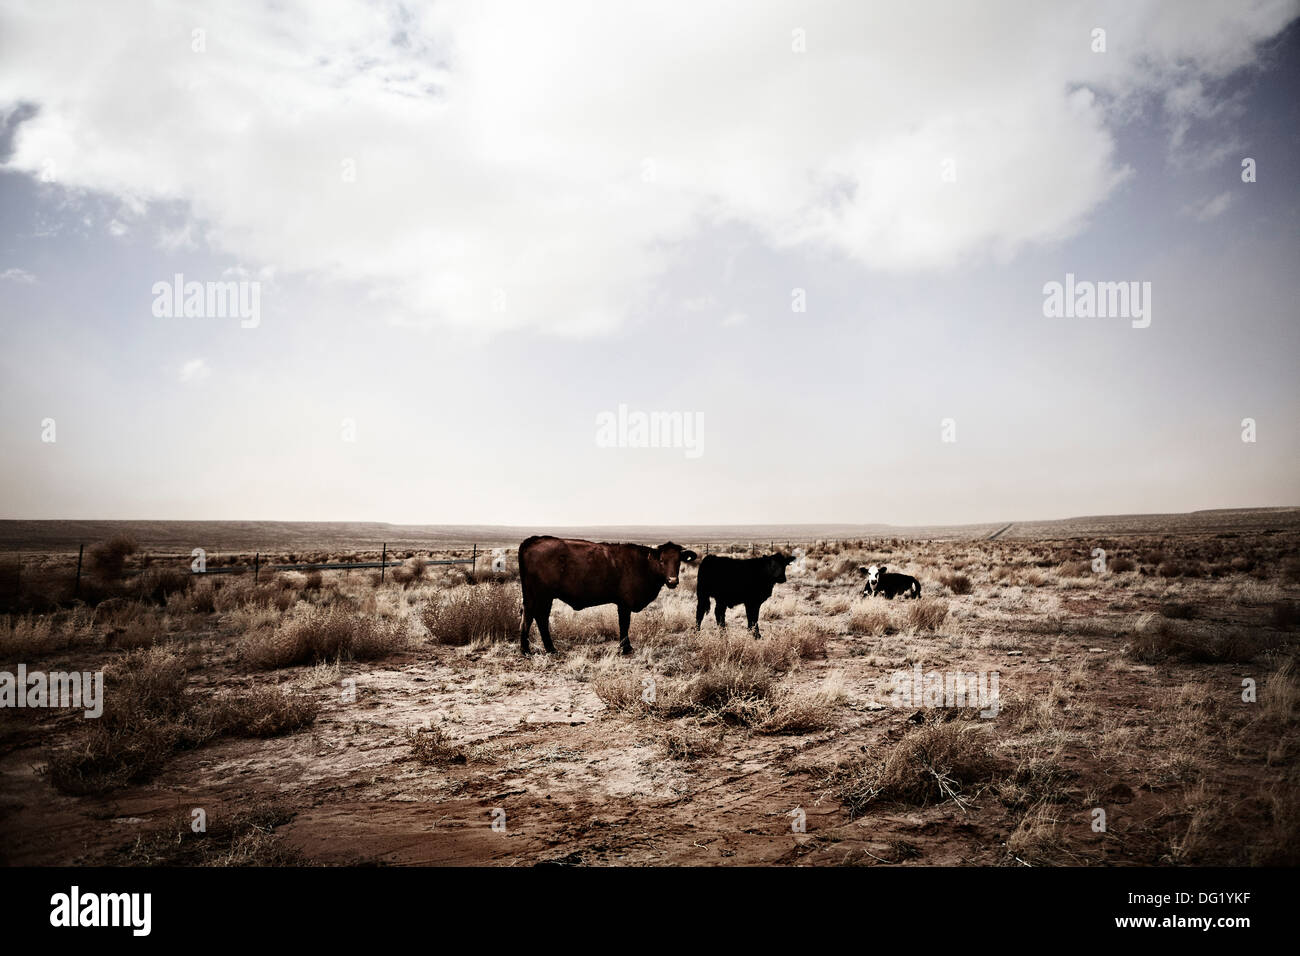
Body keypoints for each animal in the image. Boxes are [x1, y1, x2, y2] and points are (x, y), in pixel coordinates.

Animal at [517, 536, 698, 655]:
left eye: (679, 561)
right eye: (662, 560)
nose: (672, 580)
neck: (643, 564)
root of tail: (535, 539)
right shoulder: (624, 603)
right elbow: (624, 624)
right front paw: (626, 648)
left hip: (539, 596)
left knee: (537, 617)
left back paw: (545, 648)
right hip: (541, 595)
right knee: (534, 617)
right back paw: (530, 649)